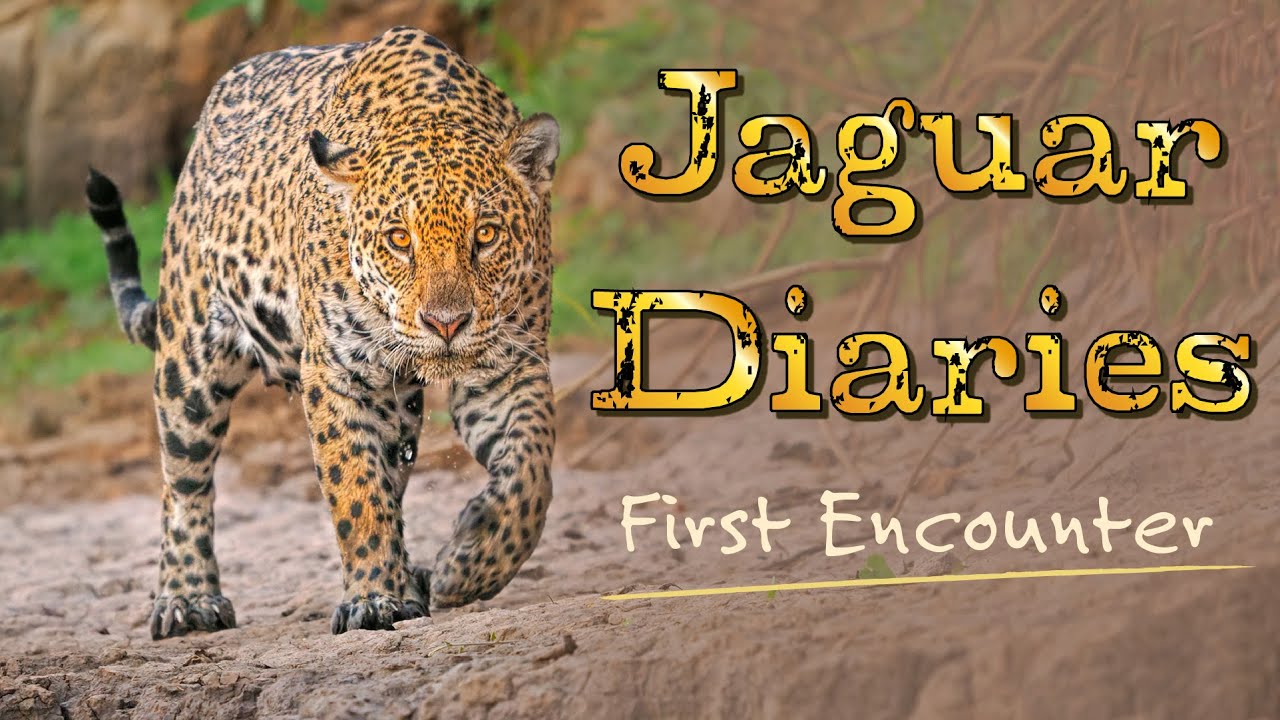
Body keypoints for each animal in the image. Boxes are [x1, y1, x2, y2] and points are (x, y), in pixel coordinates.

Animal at [84, 26, 558, 639]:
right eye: (399, 239)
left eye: (486, 235)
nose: (446, 323)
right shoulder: (338, 372)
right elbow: (354, 488)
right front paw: (373, 600)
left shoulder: (509, 366)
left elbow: (530, 471)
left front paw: (467, 560)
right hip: (188, 363)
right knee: (183, 482)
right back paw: (187, 600)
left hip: (400, 408)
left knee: (396, 477)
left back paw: (415, 578)